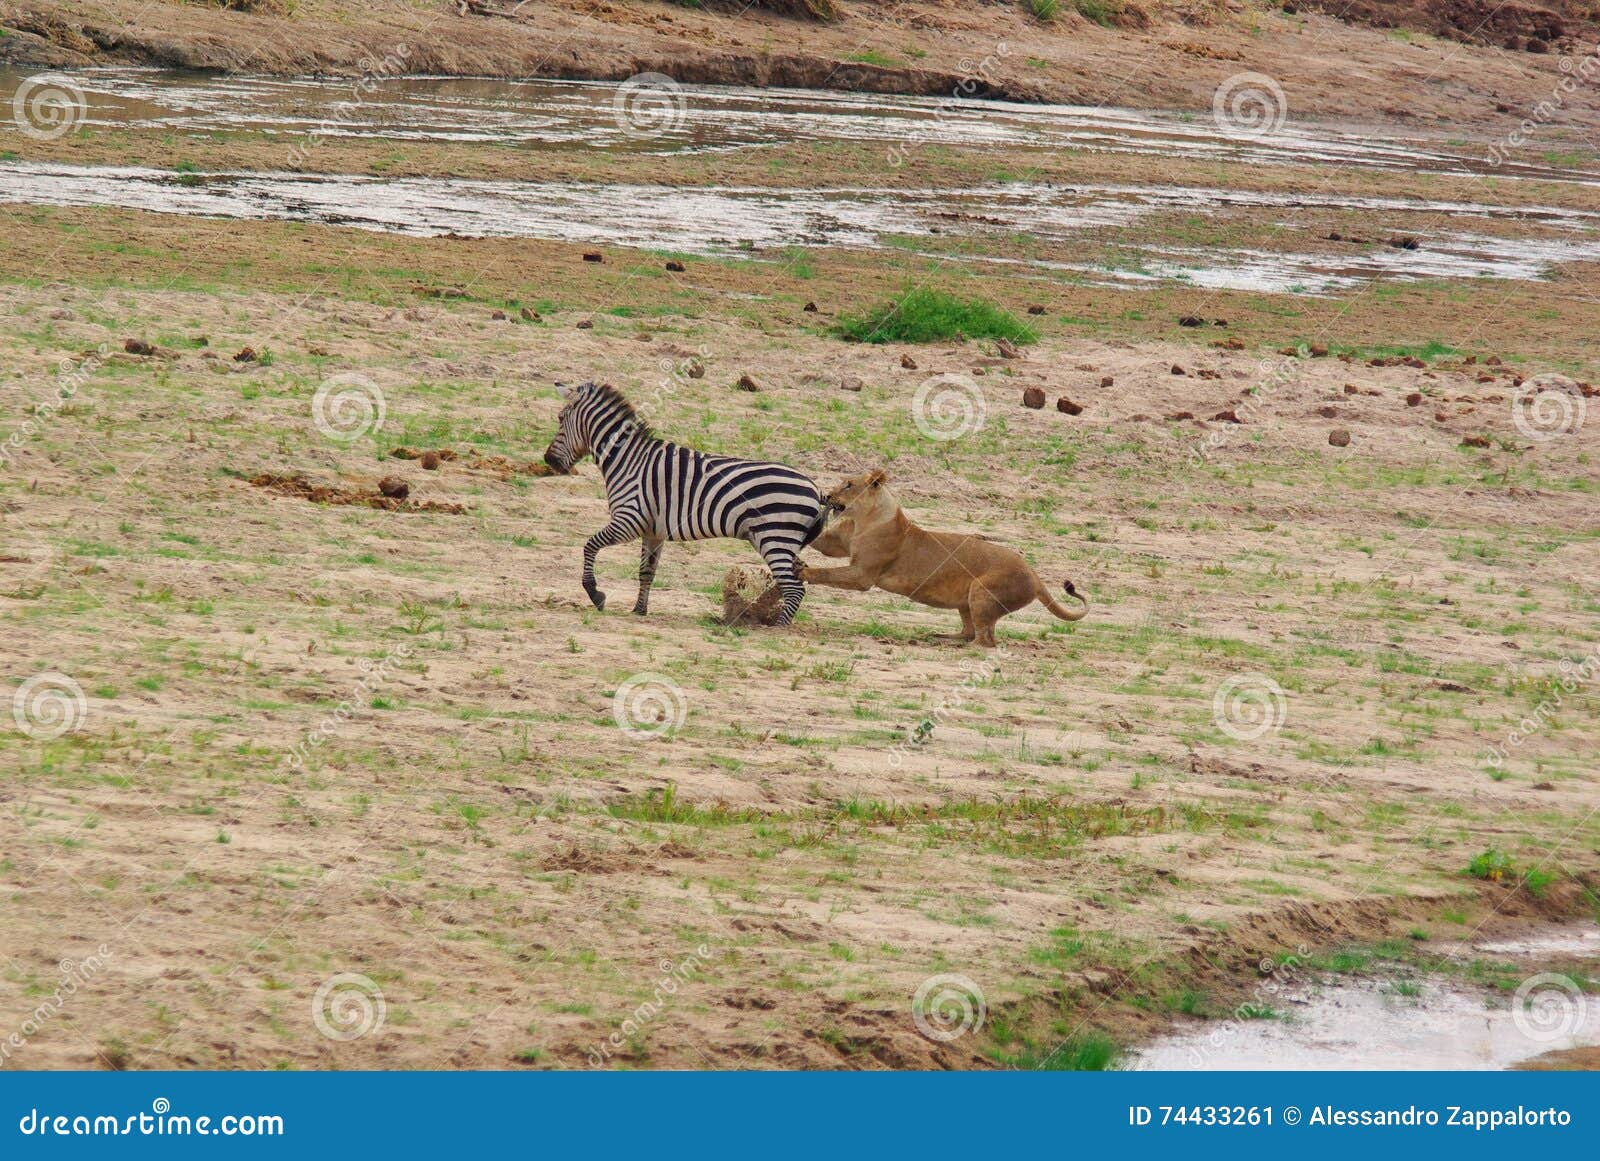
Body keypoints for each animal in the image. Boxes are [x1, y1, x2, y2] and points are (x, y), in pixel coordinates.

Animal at [541, 381, 828, 624]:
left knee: (794, 588)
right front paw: (639, 610)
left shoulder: (629, 520)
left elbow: (590, 545)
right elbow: (646, 571)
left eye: (560, 419)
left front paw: (595, 593)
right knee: (794, 582)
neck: (628, 459)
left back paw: (777, 628)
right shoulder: (652, 531)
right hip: (777, 540)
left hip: (775, 538)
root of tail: (816, 489)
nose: (549, 461)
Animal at [801, 469, 1088, 647]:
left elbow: (829, 573)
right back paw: (938, 636)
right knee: (969, 631)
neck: (861, 519)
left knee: (986, 641)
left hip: (982, 591)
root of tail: (1035, 574)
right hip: (967, 601)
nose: (827, 496)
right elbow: (818, 543)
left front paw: (803, 570)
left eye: (849, 485)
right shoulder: (835, 544)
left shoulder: (863, 574)